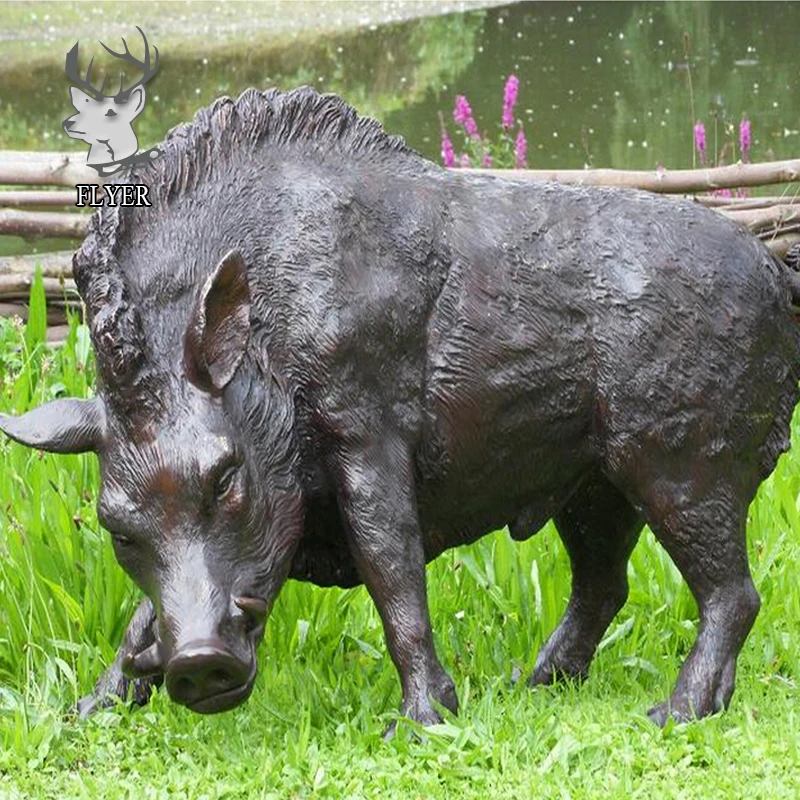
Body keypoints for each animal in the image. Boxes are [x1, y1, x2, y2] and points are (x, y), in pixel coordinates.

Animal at [2, 86, 799, 730]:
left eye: (228, 477)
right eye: (116, 527)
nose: (197, 663)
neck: (270, 337)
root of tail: (776, 273)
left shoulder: (366, 431)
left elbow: (393, 571)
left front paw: (421, 719)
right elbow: (141, 616)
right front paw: (87, 712)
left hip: (684, 465)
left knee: (732, 594)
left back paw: (675, 712)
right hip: (593, 486)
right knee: (606, 584)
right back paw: (534, 685)